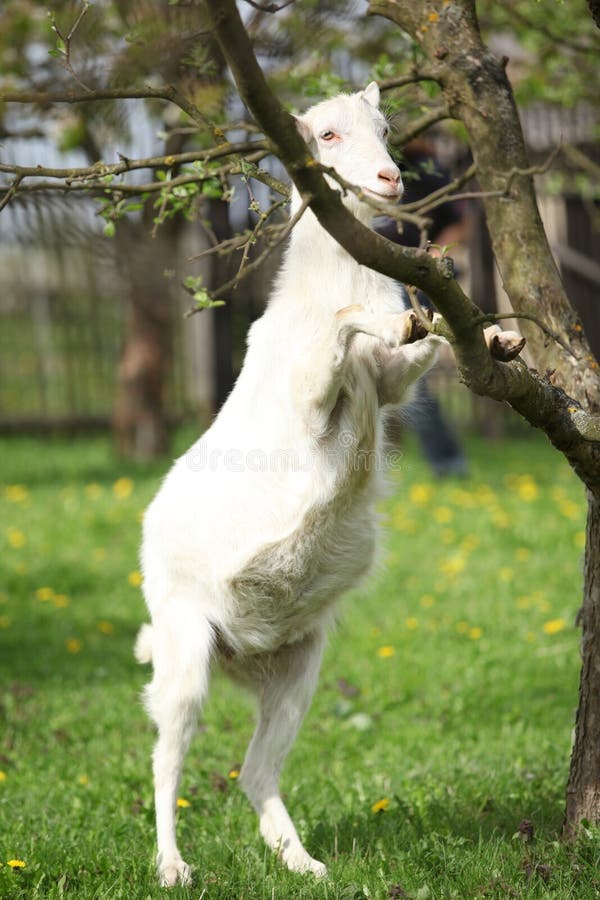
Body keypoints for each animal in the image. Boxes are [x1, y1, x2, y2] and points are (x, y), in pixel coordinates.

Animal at [135, 82, 518, 887]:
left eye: (385, 127)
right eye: (329, 136)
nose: (391, 179)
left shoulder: (392, 385)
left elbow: (420, 353)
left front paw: (493, 335)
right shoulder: (311, 401)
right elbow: (341, 337)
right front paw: (388, 319)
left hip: (298, 666)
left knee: (255, 771)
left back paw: (304, 864)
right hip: (185, 648)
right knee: (165, 755)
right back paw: (173, 867)